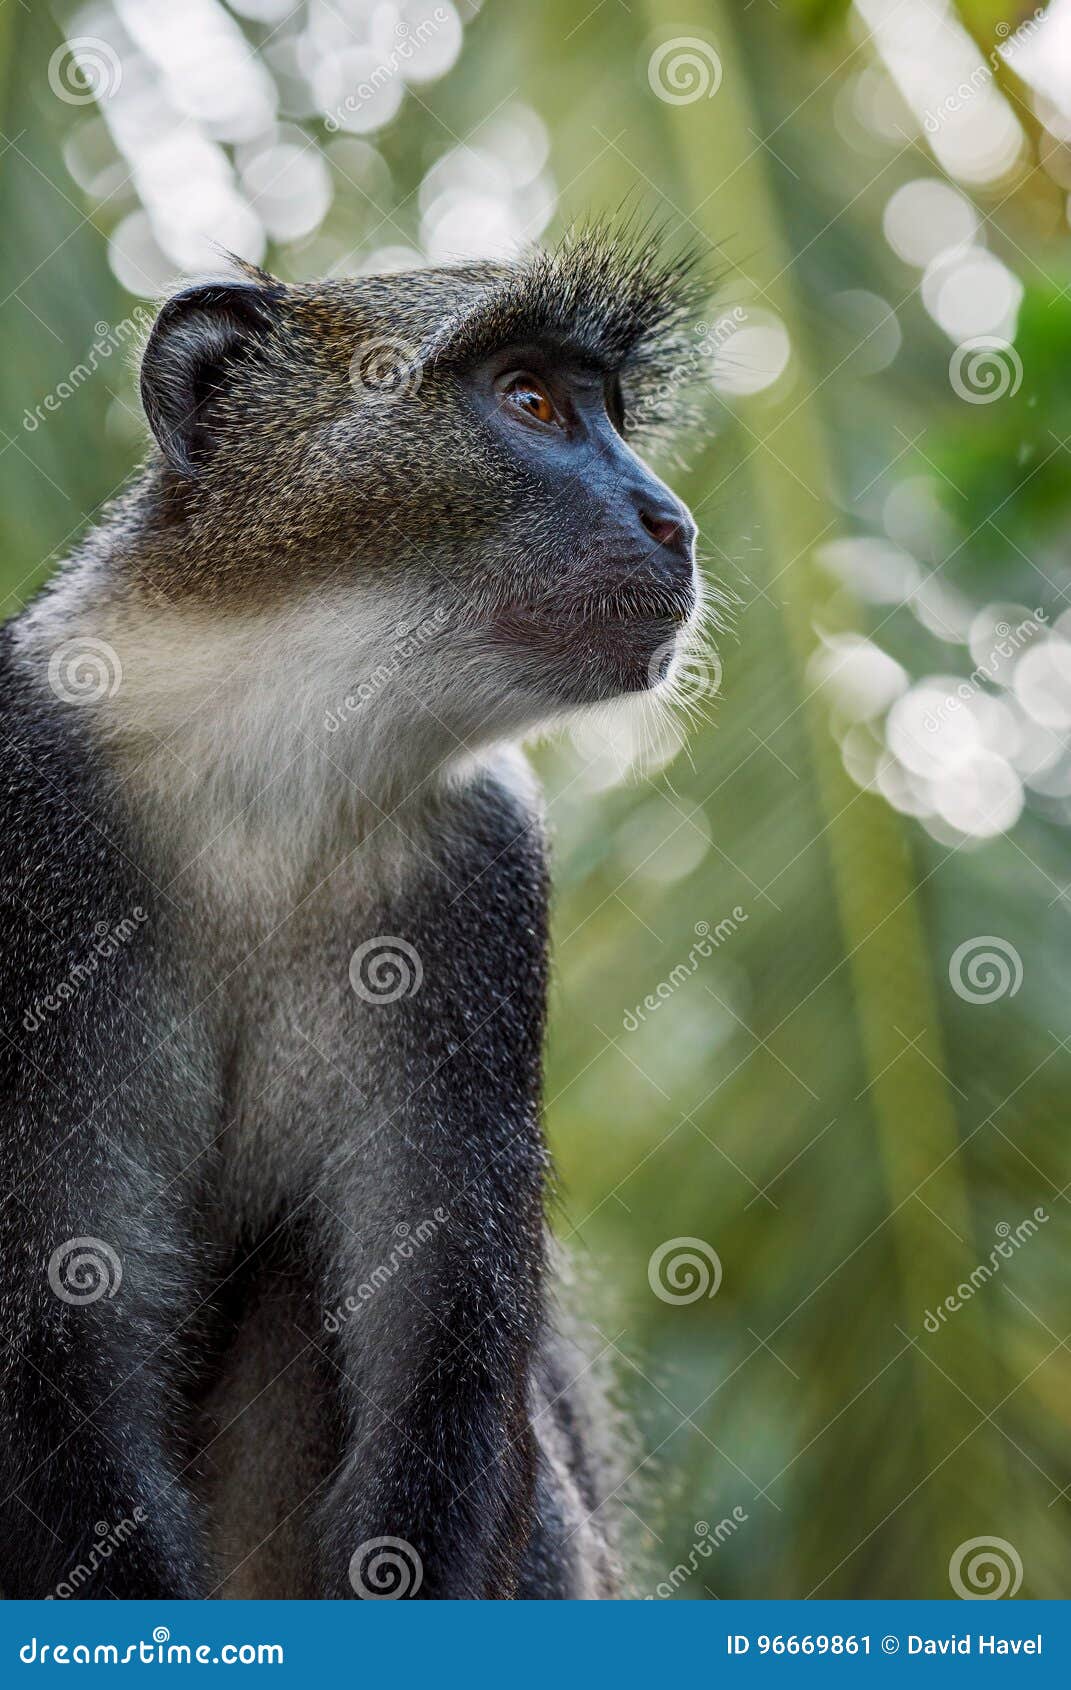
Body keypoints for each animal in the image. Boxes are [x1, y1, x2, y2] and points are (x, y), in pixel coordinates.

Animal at [0, 225, 705, 1599]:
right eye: (532, 401)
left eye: (606, 406)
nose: (675, 524)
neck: (278, 763)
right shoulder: (35, 808)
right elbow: (61, 1331)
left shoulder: (481, 880)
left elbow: (440, 1354)